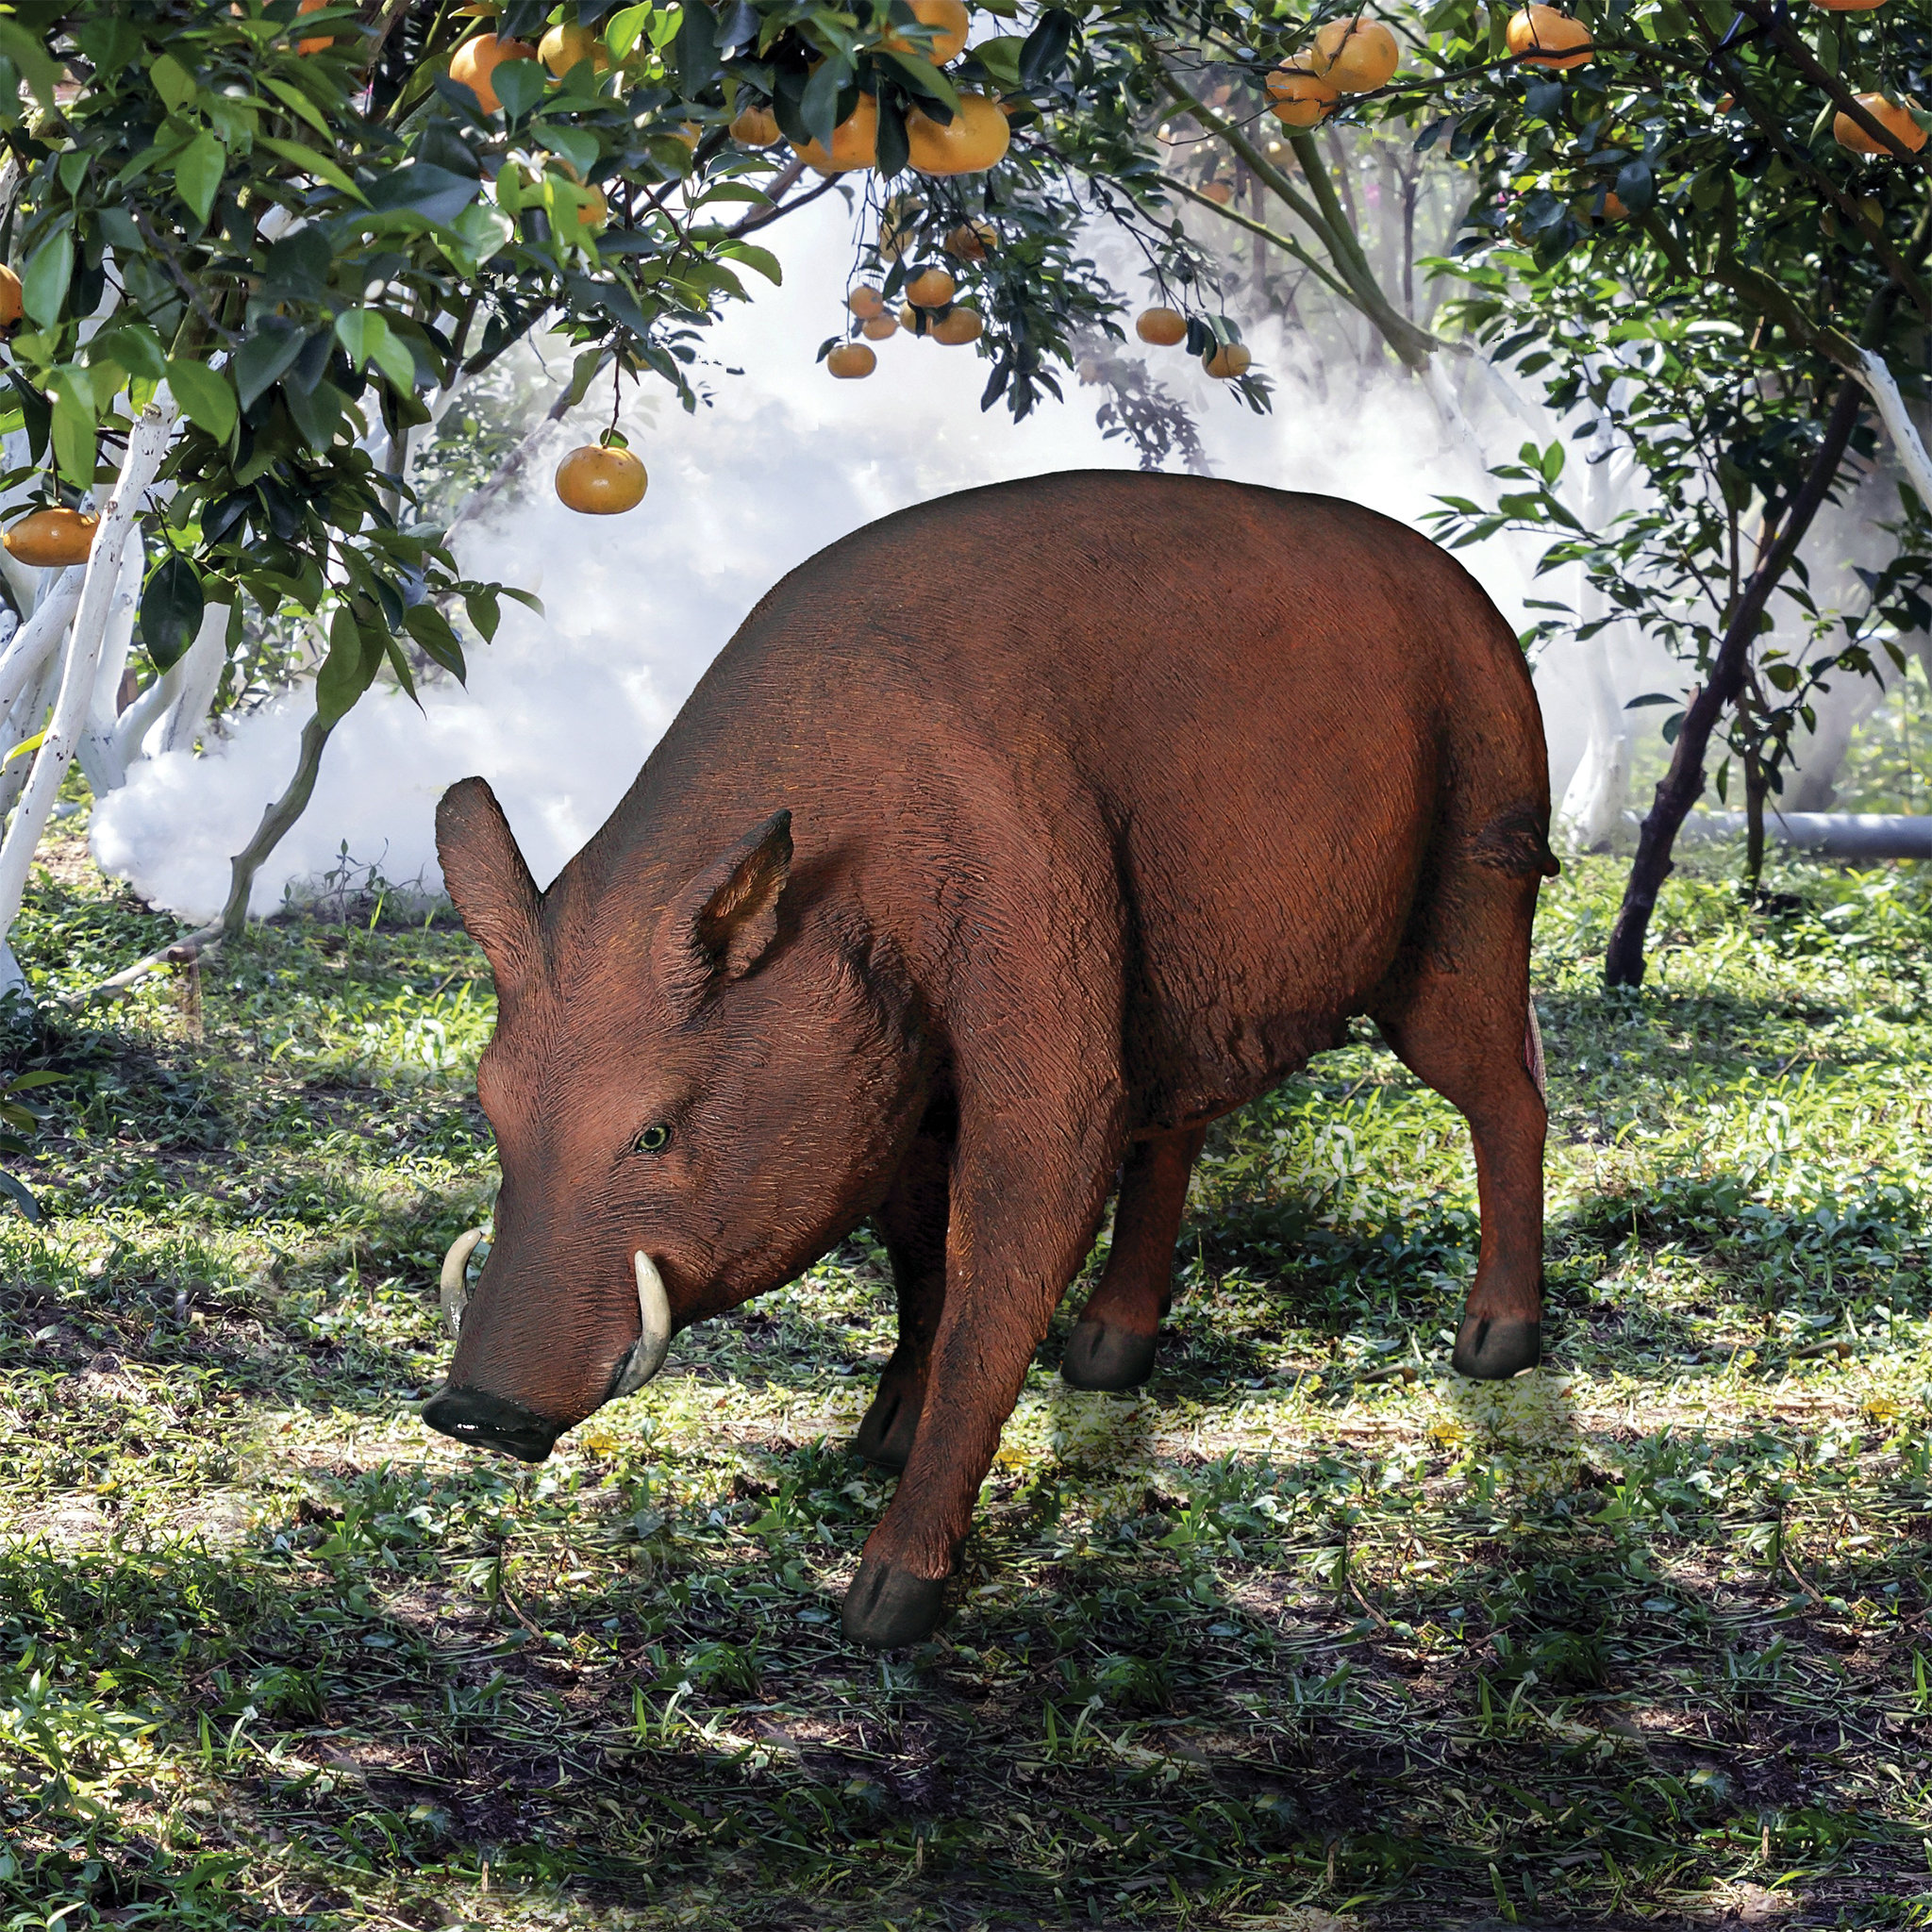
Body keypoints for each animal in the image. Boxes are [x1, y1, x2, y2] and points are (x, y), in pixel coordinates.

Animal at [421, 470, 1557, 1648]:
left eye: (652, 1128)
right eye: (492, 1107)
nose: (471, 1410)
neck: (849, 889)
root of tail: (1469, 598)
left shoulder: (1047, 1029)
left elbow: (992, 1275)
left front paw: (884, 1598)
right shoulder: (900, 1093)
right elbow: (920, 1265)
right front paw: (875, 1437)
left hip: (1472, 896)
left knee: (1512, 1091)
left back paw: (1493, 1342)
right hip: (1193, 987)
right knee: (1185, 1126)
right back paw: (1104, 1355)